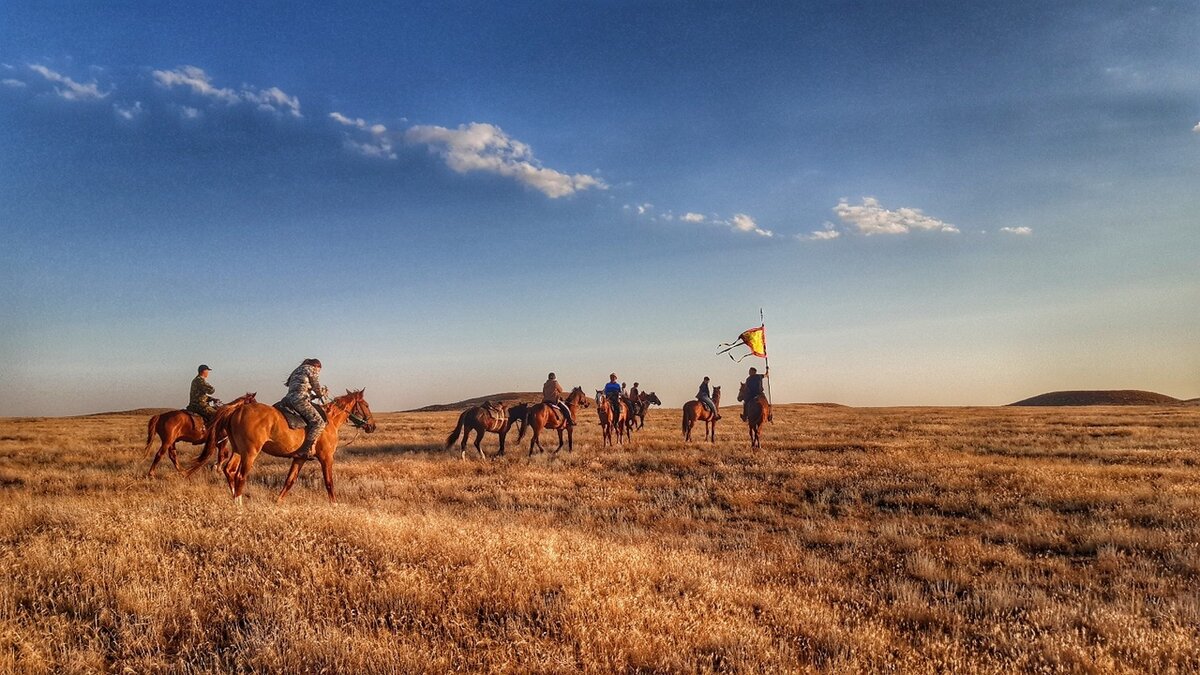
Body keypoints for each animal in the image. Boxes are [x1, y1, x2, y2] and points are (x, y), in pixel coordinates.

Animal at [186, 389, 374, 499]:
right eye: (366, 404)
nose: (372, 426)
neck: (330, 421)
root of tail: (236, 410)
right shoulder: (326, 457)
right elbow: (329, 482)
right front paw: (334, 505)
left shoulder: (300, 458)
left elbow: (289, 481)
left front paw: (277, 502)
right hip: (250, 452)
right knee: (240, 475)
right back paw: (239, 504)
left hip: (239, 451)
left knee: (229, 470)